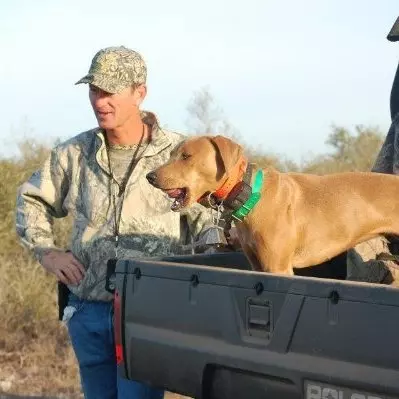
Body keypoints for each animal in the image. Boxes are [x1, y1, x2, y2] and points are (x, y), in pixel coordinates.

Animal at [146, 136, 399, 276]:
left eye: (186, 156)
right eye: (171, 154)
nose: (150, 176)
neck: (248, 192)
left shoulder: (278, 268)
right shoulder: (257, 265)